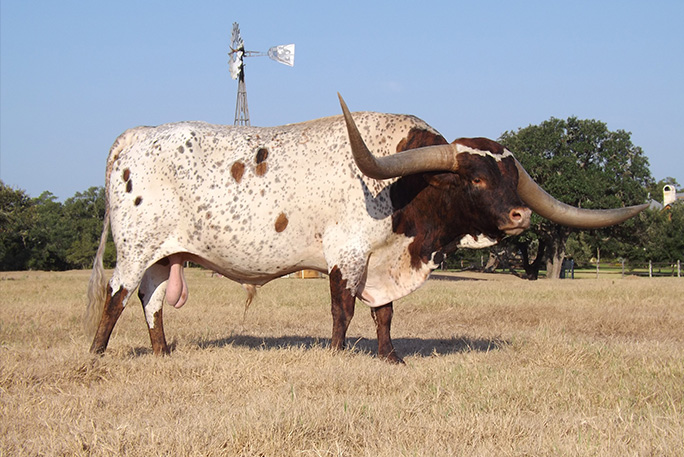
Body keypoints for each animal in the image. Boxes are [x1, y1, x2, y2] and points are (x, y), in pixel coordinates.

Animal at [85, 94, 646, 363]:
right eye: (475, 178)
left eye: (512, 179)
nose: (520, 216)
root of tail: (134, 136)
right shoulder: (348, 255)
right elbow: (345, 310)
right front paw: (336, 355)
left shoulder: (382, 262)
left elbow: (385, 314)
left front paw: (390, 357)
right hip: (135, 250)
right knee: (116, 297)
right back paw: (97, 355)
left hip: (163, 256)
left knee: (152, 302)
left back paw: (162, 355)